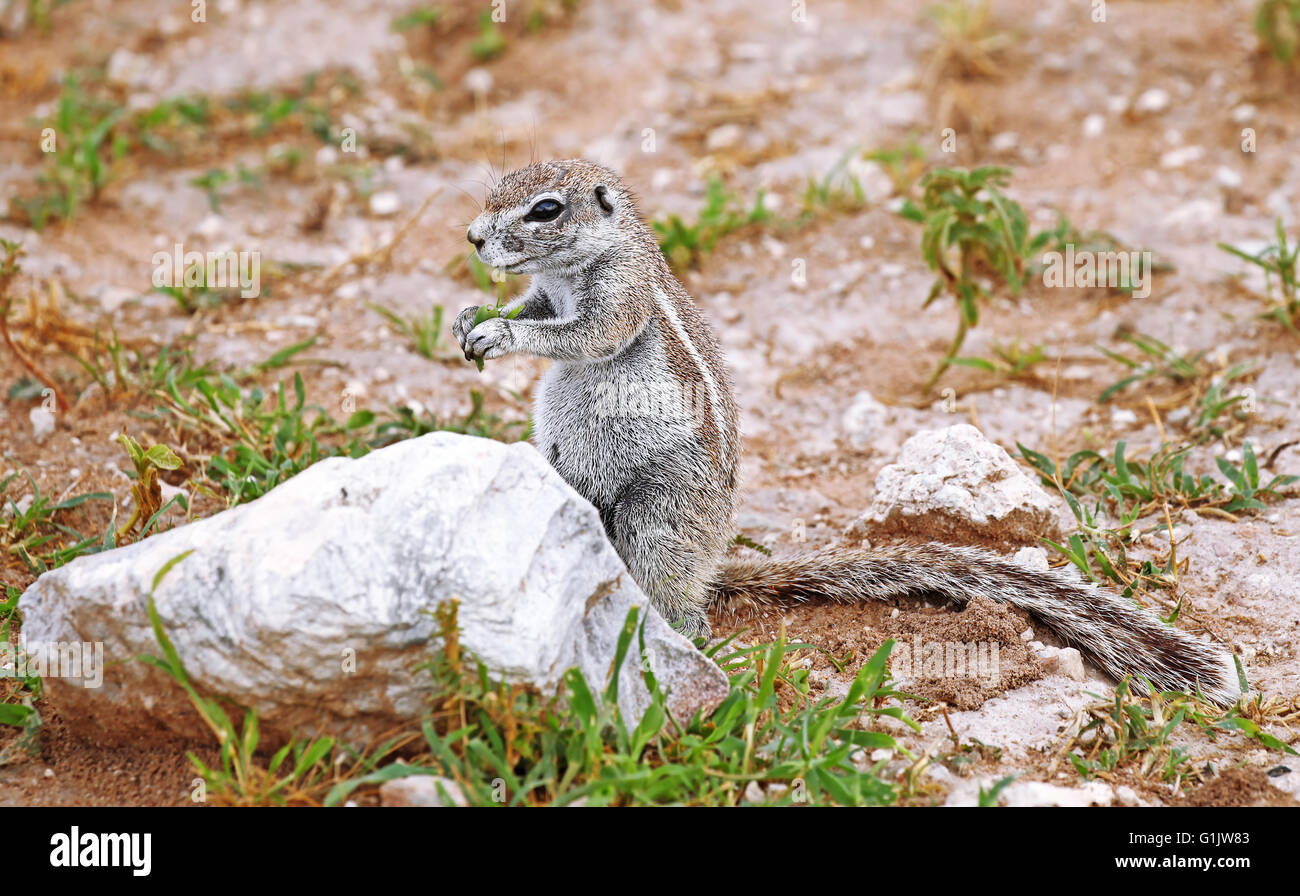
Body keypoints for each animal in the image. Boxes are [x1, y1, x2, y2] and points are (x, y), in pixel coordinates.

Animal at [453, 158, 1240, 706]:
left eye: (545, 208)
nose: (473, 237)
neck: (585, 260)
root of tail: (712, 561)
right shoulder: (548, 289)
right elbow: (534, 308)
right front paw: (471, 315)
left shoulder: (620, 296)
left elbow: (584, 336)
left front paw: (502, 332)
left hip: (660, 514)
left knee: (676, 597)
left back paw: (680, 642)